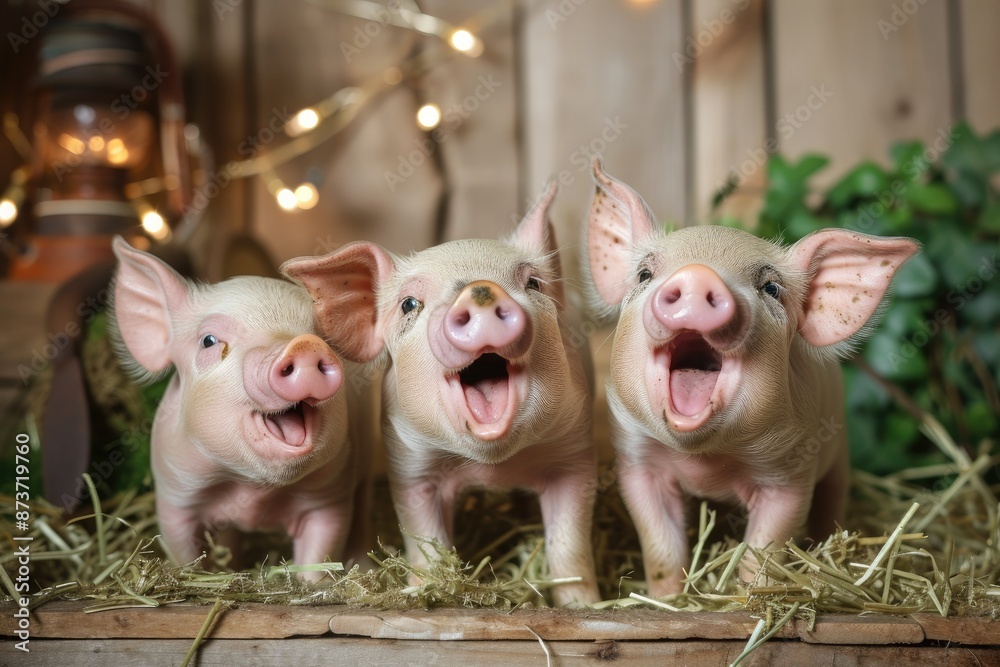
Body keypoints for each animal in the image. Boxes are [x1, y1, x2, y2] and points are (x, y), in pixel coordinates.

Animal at [109, 237, 371, 577]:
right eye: (209, 341)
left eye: (323, 337)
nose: (304, 345)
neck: (253, 489)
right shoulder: (174, 496)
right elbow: (185, 554)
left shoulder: (329, 498)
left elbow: (320, 554)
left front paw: (312, 583)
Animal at [281, 182, 600, 606]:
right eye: (409, 304)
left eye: (533, 284)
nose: (480, 291)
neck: (490, 464)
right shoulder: (410, 465)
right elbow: (424, 539)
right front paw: (424, 591)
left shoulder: (575, 452)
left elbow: (570, 547)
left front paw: (584, 604)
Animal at [584, 160, 919, 597]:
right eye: (643, 274)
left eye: (771, 287)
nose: (697, 275)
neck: (704, 460)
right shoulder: (638, 462)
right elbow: (661, 547)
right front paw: (667, 598)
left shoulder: (790, 472)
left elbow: (764, 549)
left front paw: (746, 598)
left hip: (841, 451)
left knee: (833, 500)